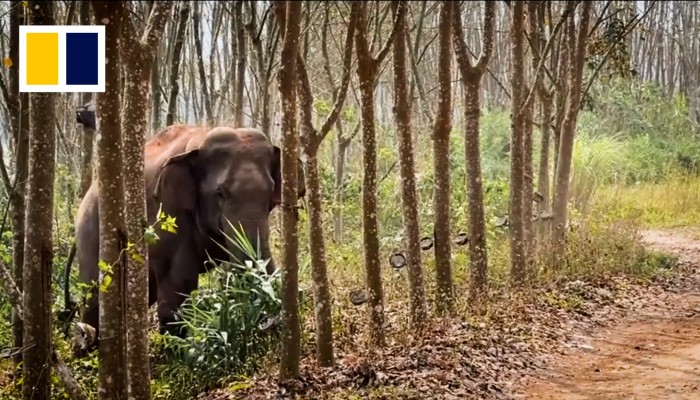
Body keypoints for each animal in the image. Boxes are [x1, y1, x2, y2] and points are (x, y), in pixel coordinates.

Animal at [65, 124, 305, 350]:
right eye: (220, 193)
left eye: (270, 191)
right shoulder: (168, 212)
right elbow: (179, 282)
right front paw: (178, 351)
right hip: (91, 233)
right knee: (95, 297)